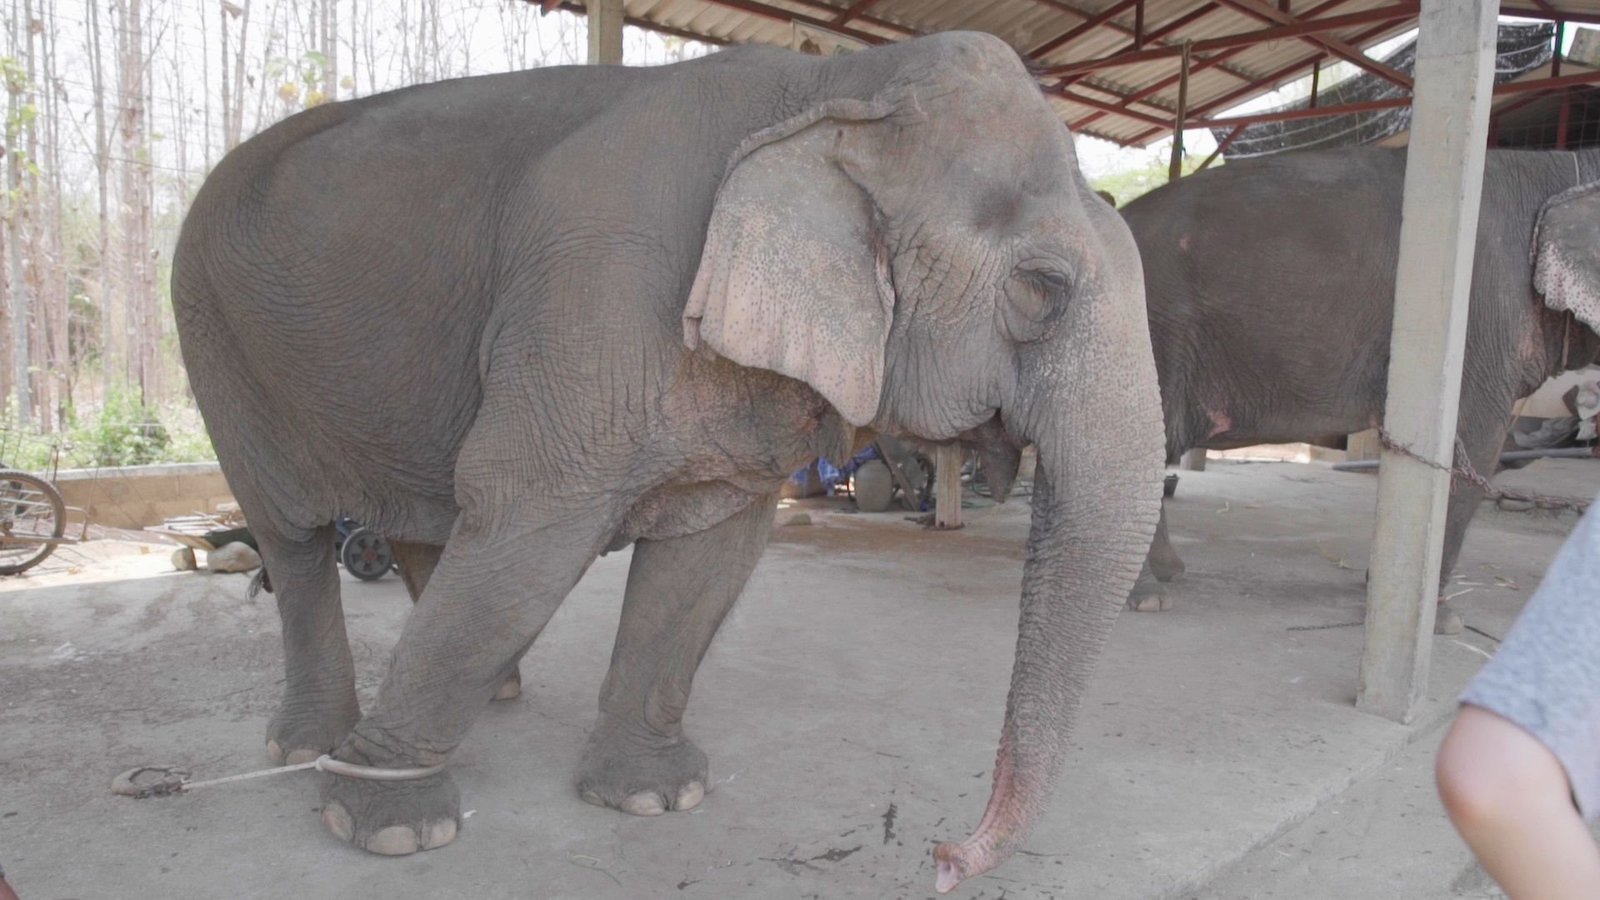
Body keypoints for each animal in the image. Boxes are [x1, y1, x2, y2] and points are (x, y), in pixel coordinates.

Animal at [170, 32, 1164, 893]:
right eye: (1042, 289)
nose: (945, 855)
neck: (837, 82)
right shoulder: (598, 291)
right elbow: (529, 523)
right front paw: (385, 828)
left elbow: (709, 551)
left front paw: (654, 797)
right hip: (213, 334)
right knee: (294, 541)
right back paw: (311, 747)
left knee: (426, 520)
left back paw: (492, 694)